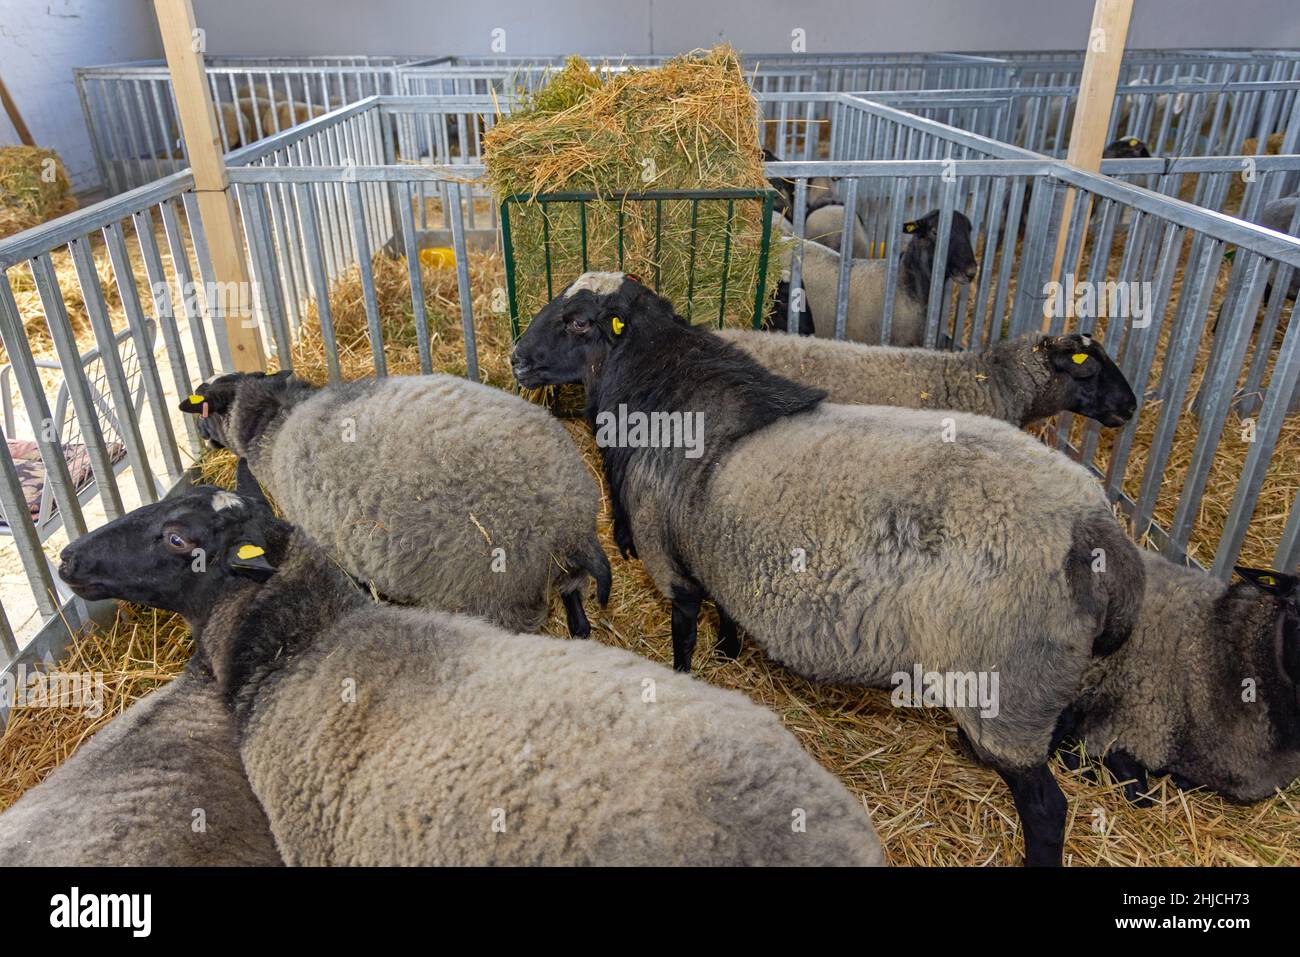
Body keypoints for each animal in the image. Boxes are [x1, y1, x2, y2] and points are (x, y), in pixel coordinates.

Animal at [178, 372, 609, 638]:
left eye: (204, 408)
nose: (202, 437)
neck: (276, 422)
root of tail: (569, 526)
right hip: (564, 572)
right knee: (577, 609)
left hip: (499, 596)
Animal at [512, 272, 1147, 865]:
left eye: (577, 321)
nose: (516, 358)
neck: (667, 393)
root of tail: (1097, 529)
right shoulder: (716, 550)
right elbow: (724, 610)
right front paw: (730, 651)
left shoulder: (670, 563)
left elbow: (684, 630)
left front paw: (689, 674)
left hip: (1013, 684)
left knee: (1045, 807)